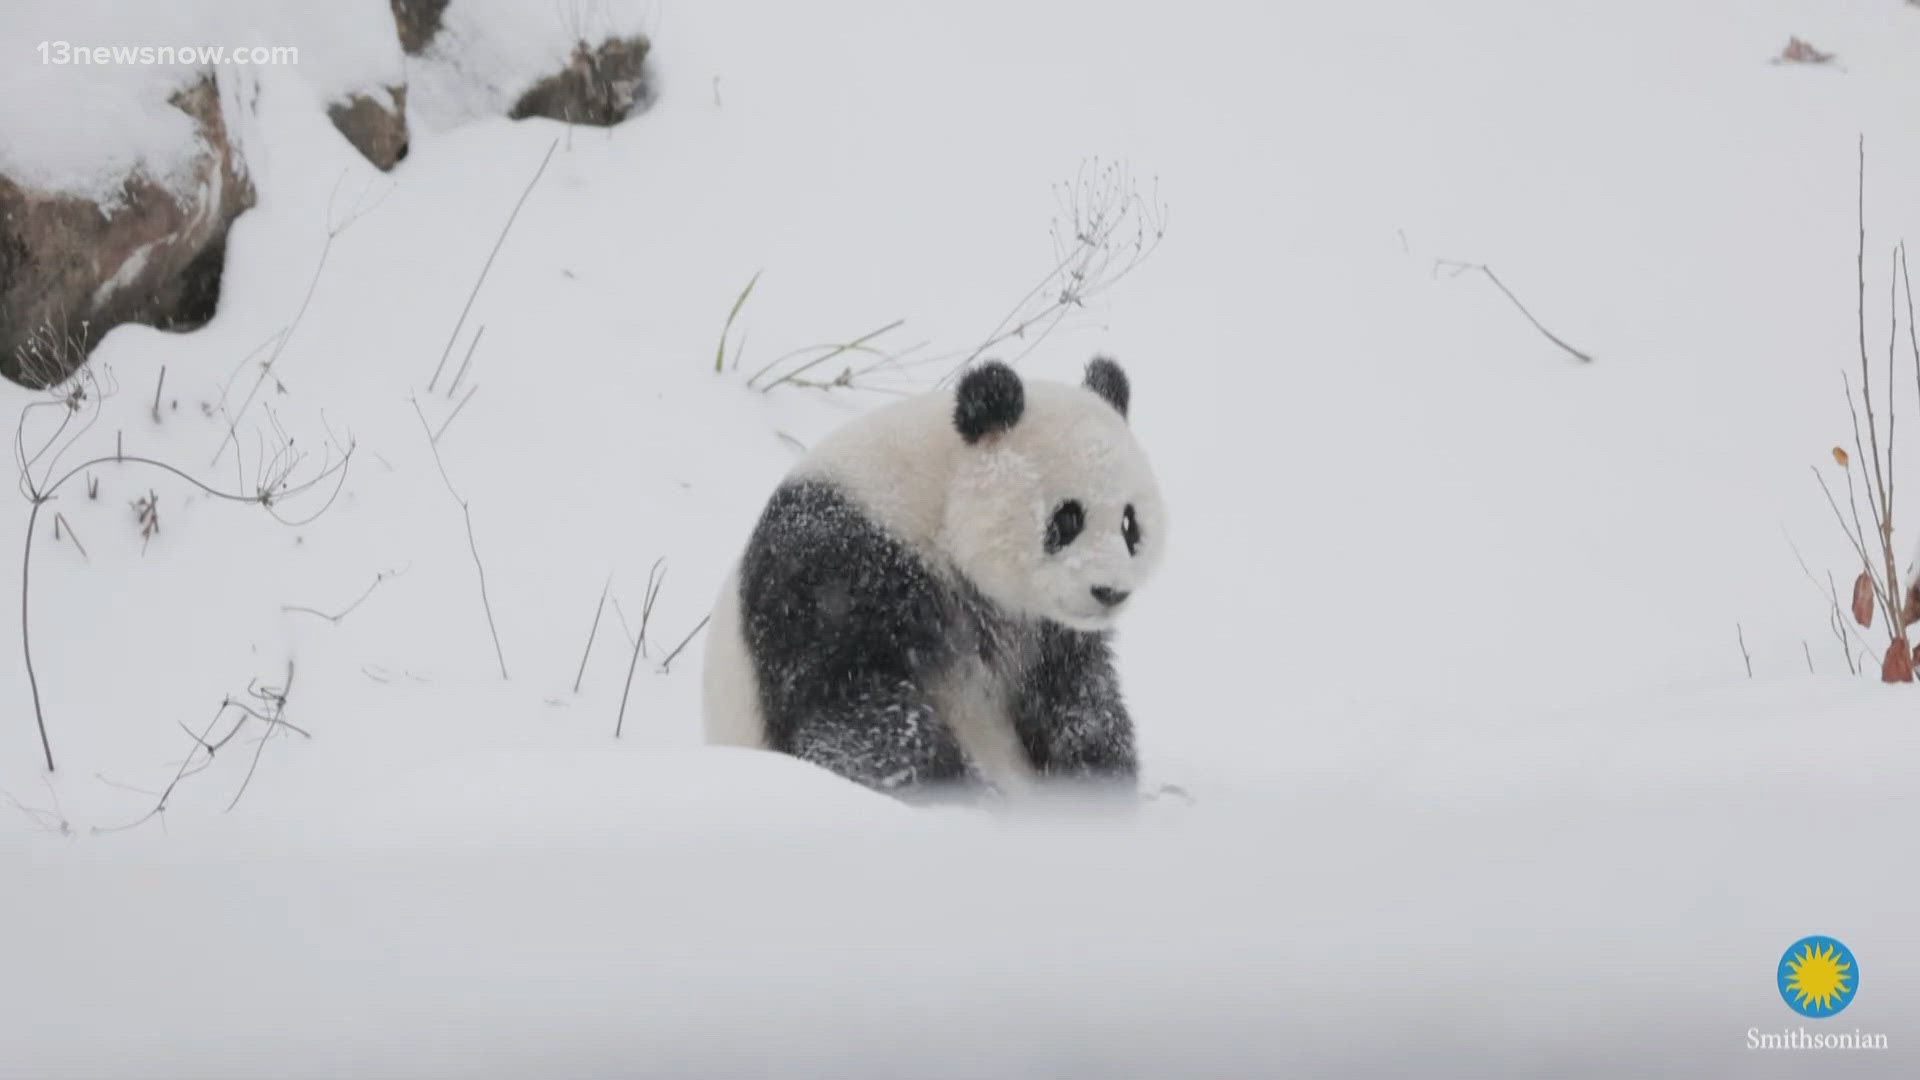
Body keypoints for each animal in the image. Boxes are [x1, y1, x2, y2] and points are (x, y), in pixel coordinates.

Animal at [701, 357, 1166, 797]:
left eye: (1130, 524)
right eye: (1067, 519)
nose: (1110, 592)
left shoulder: (1047, 632)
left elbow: (1078, 700)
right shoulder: (831, 568)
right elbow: (848, 708)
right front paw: (958, 789)